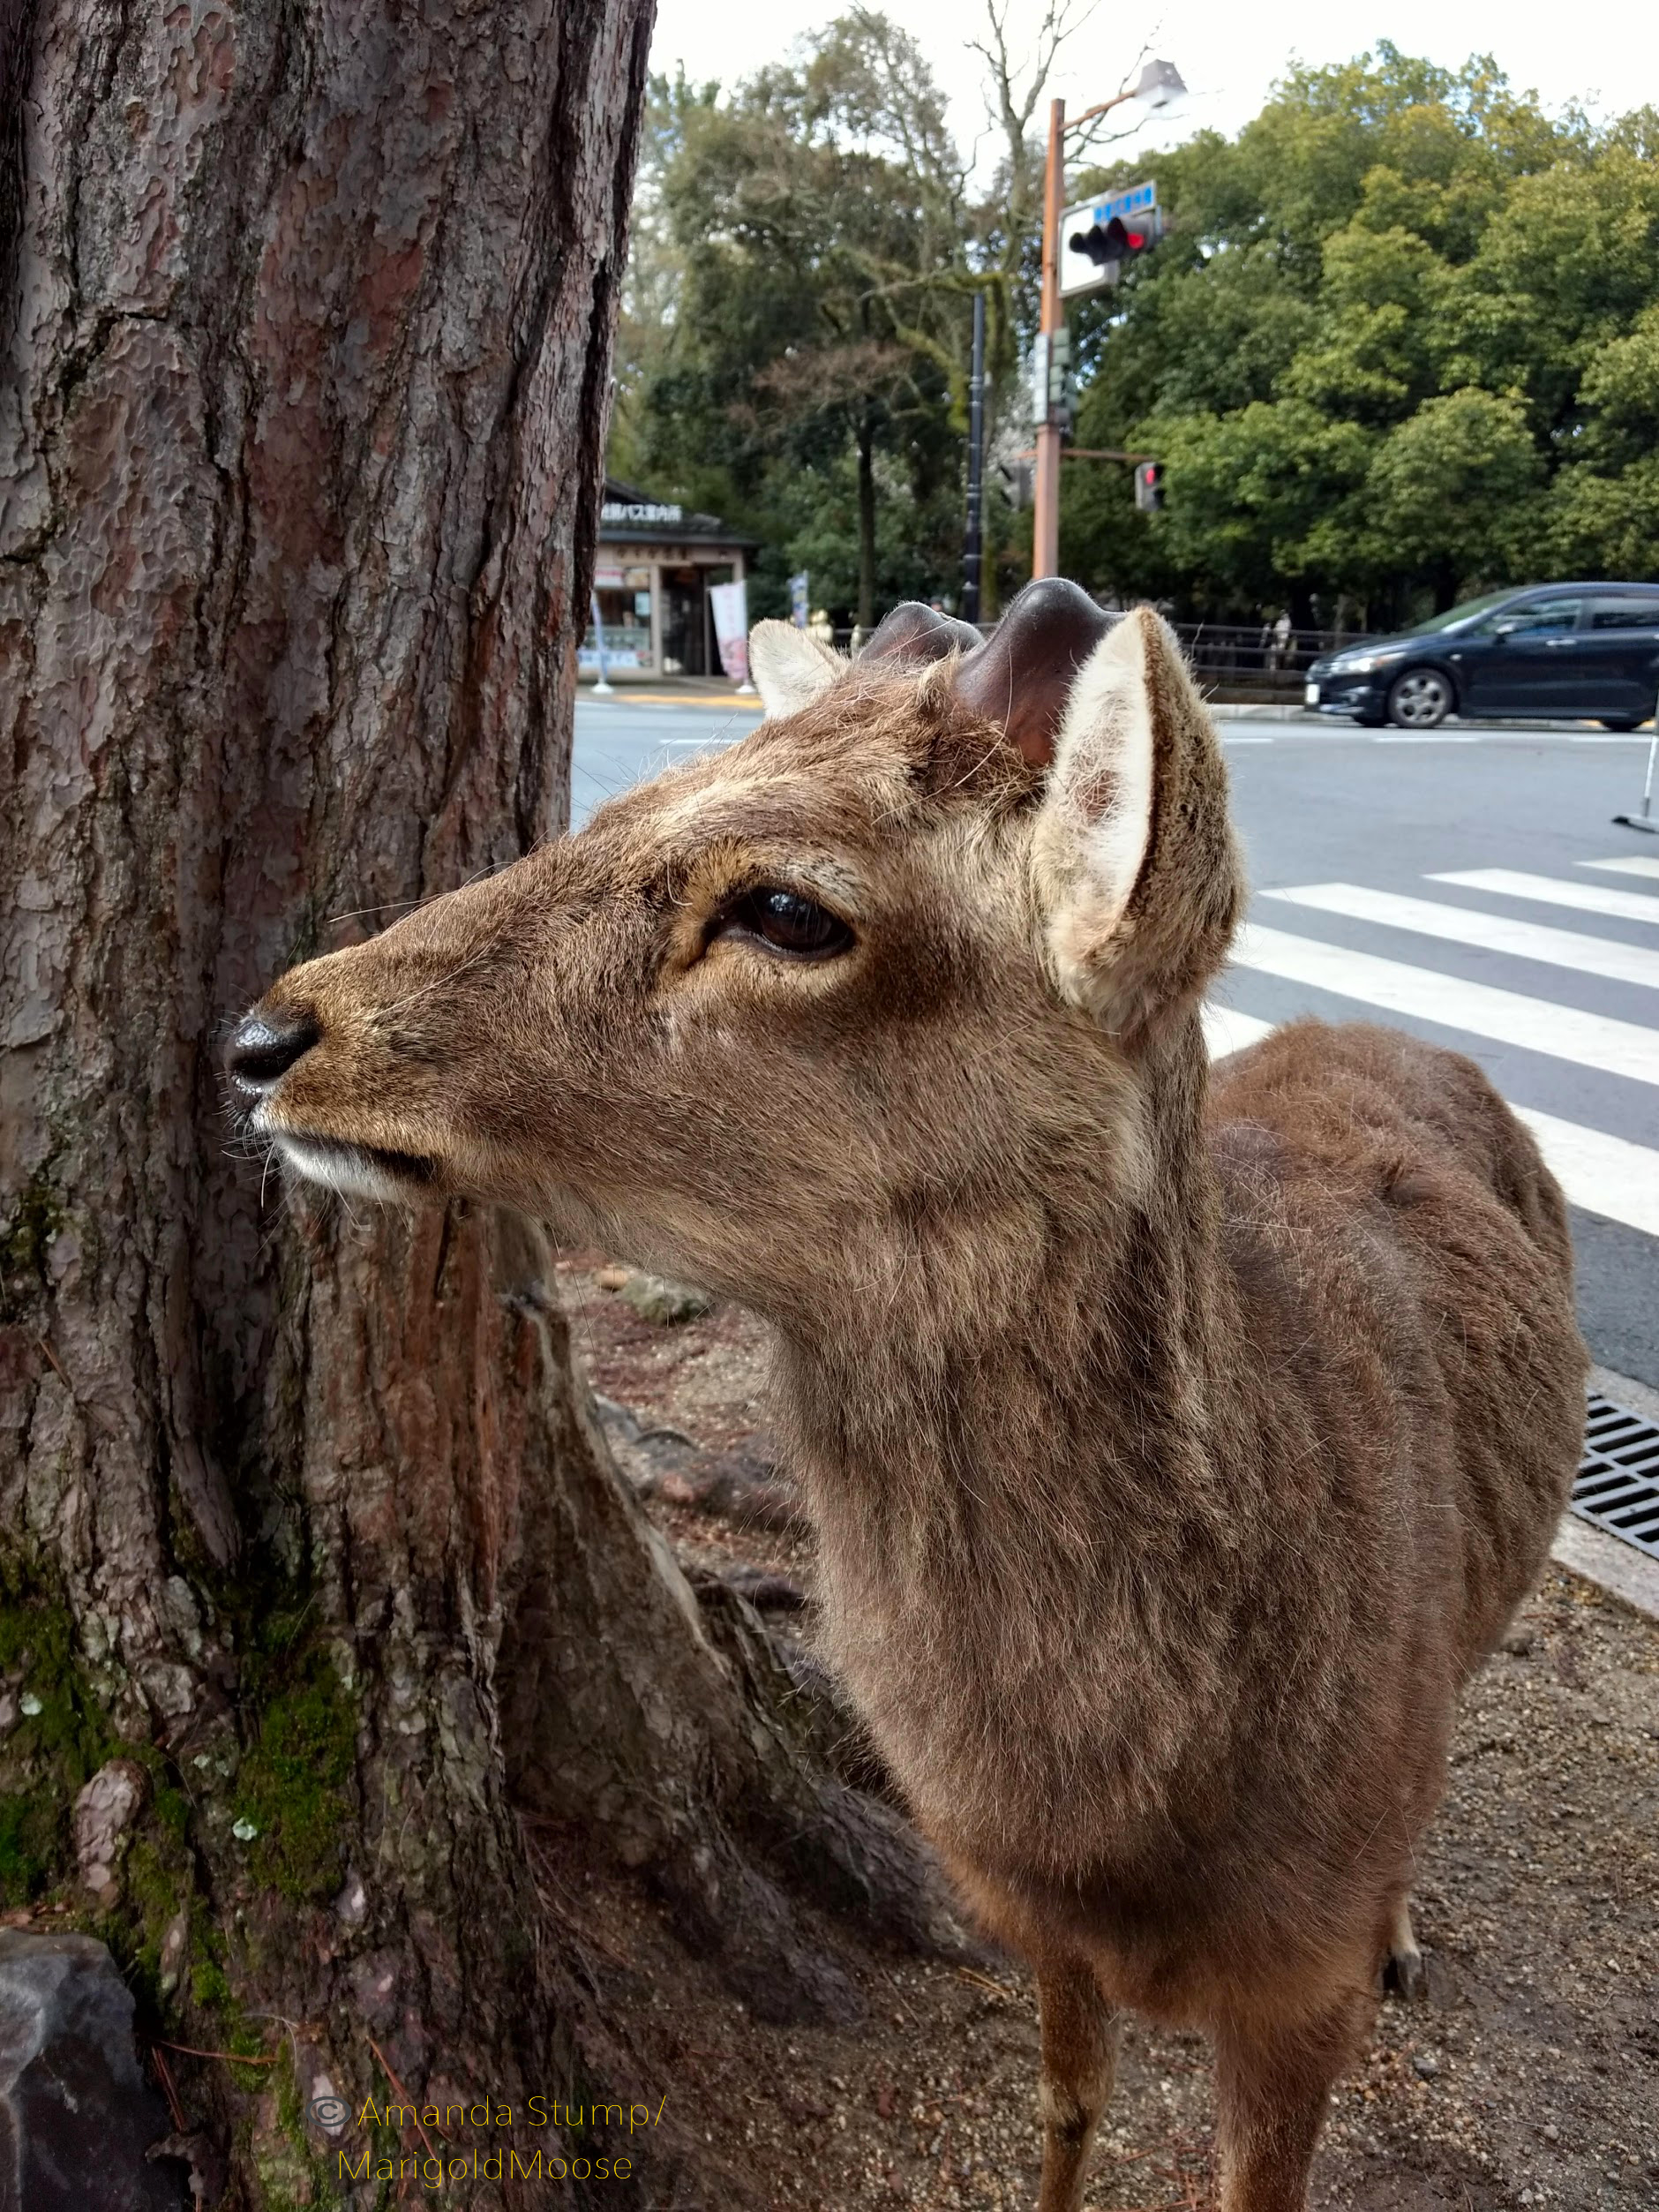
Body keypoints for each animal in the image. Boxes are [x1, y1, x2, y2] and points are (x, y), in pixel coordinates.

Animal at [227, 582, 1588, 2211]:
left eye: (789, 909)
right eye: (612, 805)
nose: (268, 1033)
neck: (1117, 1822)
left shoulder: (1293, 1986)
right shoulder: (1021, 1915)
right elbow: (1067, 2103)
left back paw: (1405, 1930)